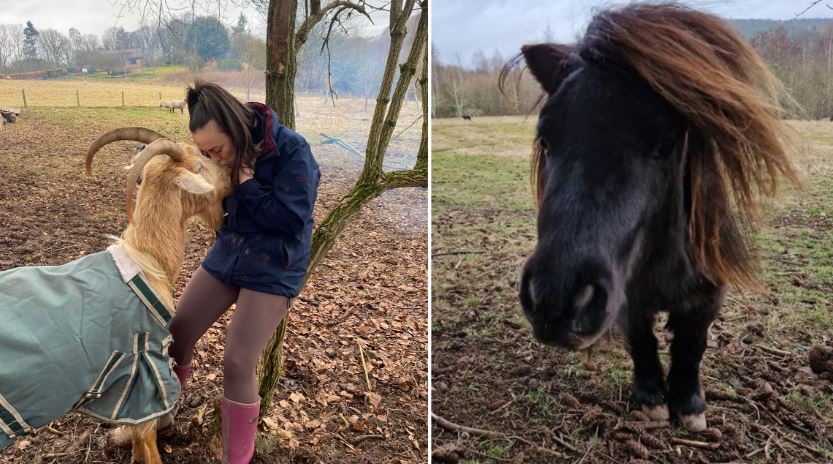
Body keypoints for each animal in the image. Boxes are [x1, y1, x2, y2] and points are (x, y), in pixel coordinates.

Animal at [504, 3, 798, 432]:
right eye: (545, 138)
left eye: (668, 141)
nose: (556, 299)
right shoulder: (629, 299)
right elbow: (642, 341)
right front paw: (652, 399)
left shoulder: (708, 296)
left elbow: (692, 345)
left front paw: (689, 405)